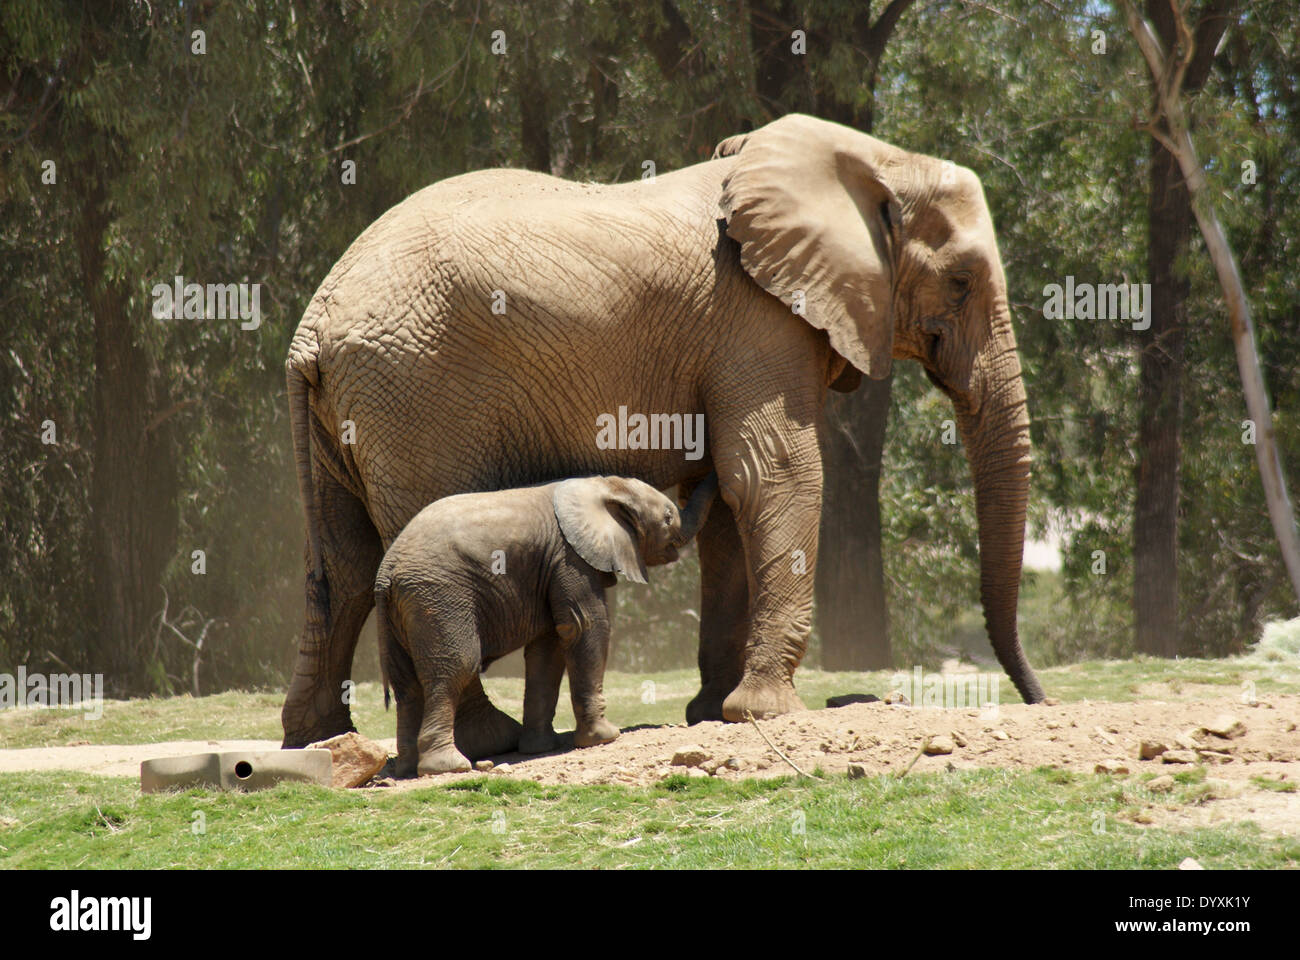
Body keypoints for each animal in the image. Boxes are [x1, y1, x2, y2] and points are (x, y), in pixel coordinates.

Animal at [376, 473, 717, 775]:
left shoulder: (550, 567)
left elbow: (548, 648)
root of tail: (386, 572)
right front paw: (605, 737)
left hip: (404, 609)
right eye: (668, 517)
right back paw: (447, 767)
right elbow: (586, 626)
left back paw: (407, 769)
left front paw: (539, 747)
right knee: (456, 667)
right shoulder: (570, 558)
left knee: (407, 684)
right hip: (438, 598)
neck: (603, 485)